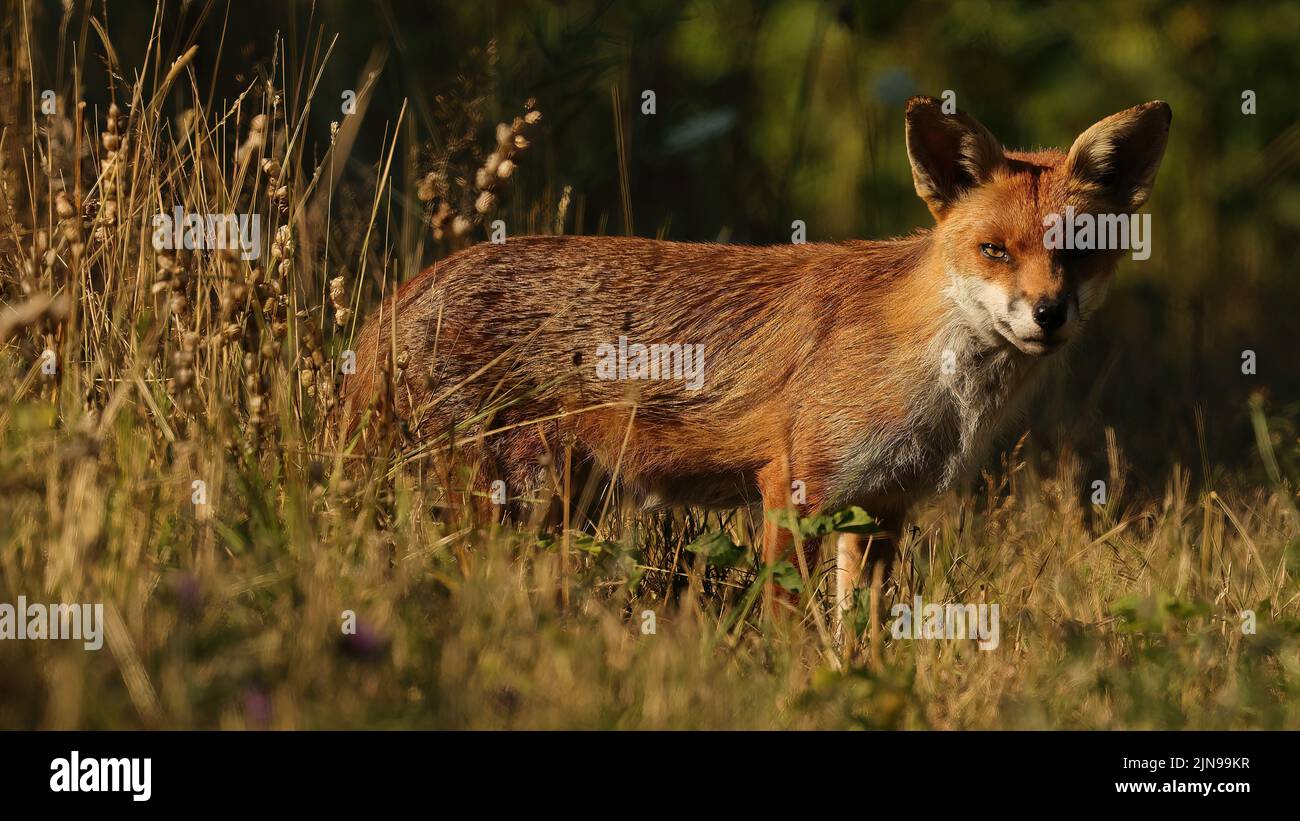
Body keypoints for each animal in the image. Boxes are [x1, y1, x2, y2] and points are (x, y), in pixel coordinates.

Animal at [340, 96, 1171, 636]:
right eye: (995, 250)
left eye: (1079, 253)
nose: (1048, 314)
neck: (940, 384)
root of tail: (397, 300)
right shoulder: (797, 489)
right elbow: (788, 626)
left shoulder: (883, 509)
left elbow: (863, 633)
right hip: (515, 492)